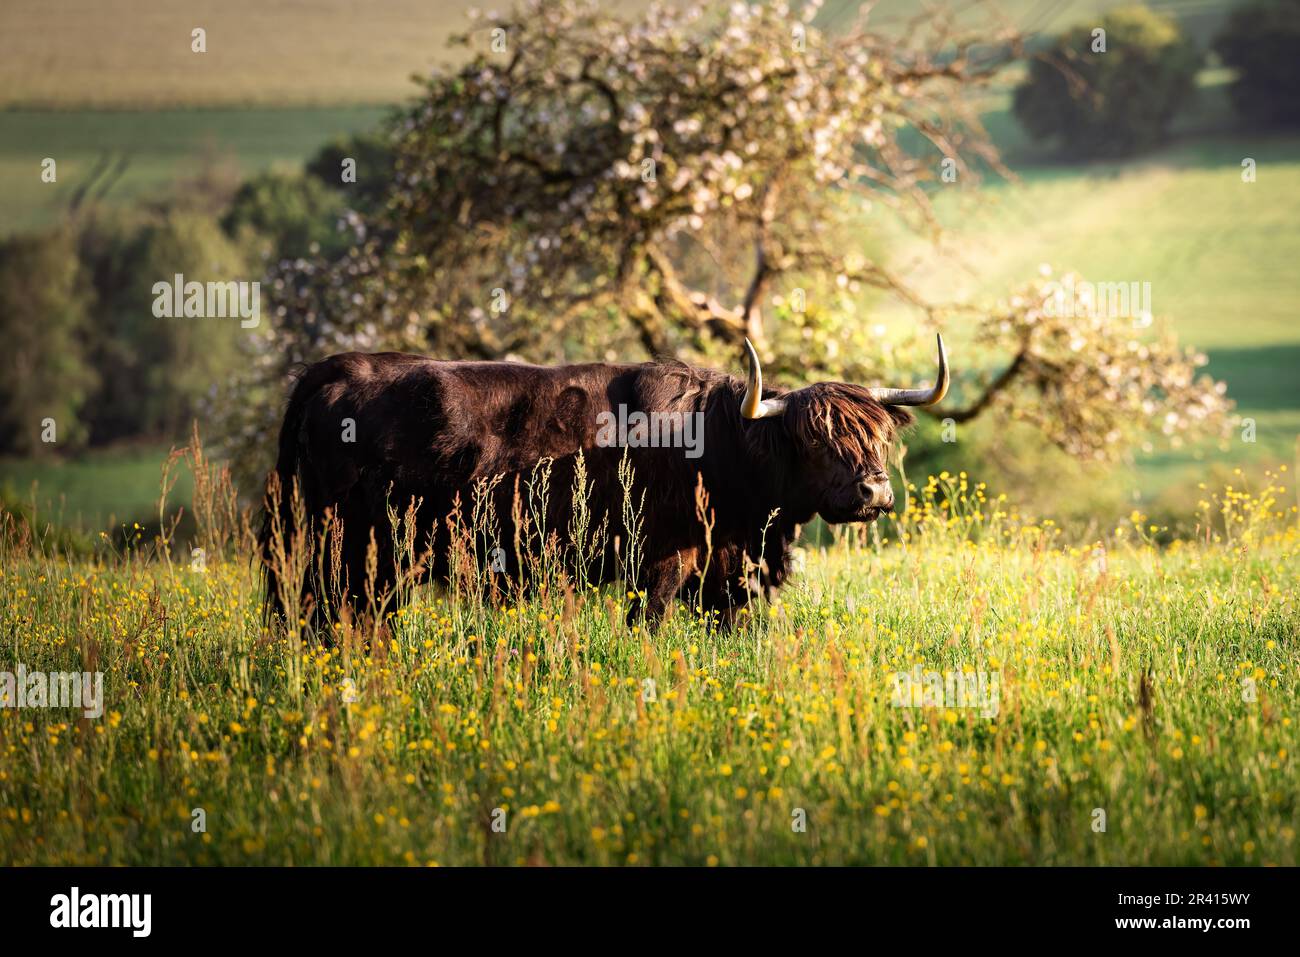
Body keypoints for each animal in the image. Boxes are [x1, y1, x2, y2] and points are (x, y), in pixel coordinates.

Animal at [259, 335, 949, 633]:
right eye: (817, 438)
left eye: (877, 437)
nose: (876, 493)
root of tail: (333, 370)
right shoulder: (662, 560)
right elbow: (650, 624)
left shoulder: (727, 569)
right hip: (343, 550)